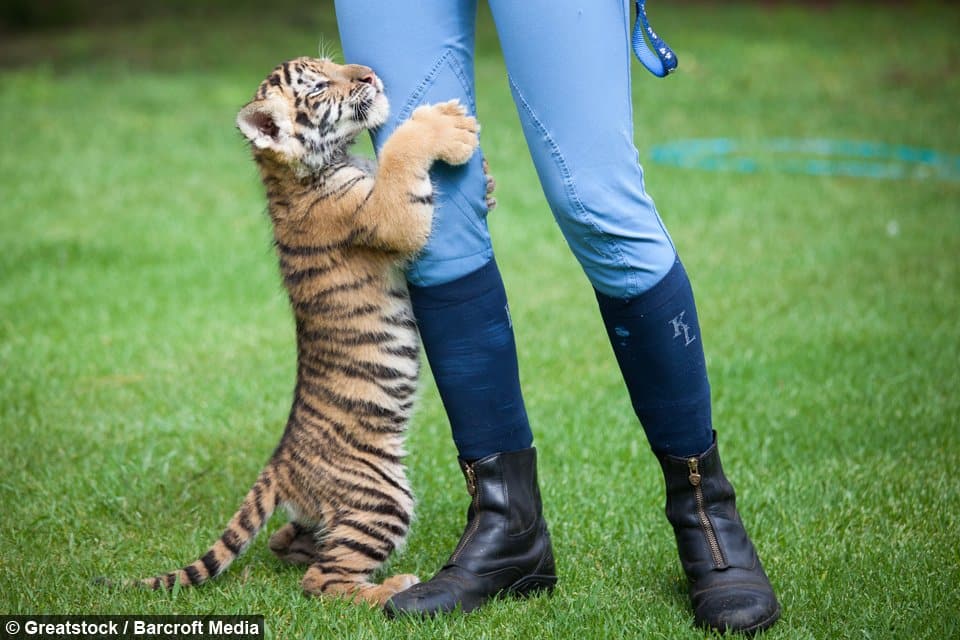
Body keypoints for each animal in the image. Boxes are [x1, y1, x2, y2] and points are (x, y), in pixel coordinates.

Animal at [132, 57, 481, 605]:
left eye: (335, 64)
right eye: (318, 87)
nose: (369, 75)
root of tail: (278, 465)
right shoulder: (387, 214)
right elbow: (400, 155)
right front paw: (445, 125)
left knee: (293, 543)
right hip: (382, 496)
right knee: (323, 581)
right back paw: (392, 590)